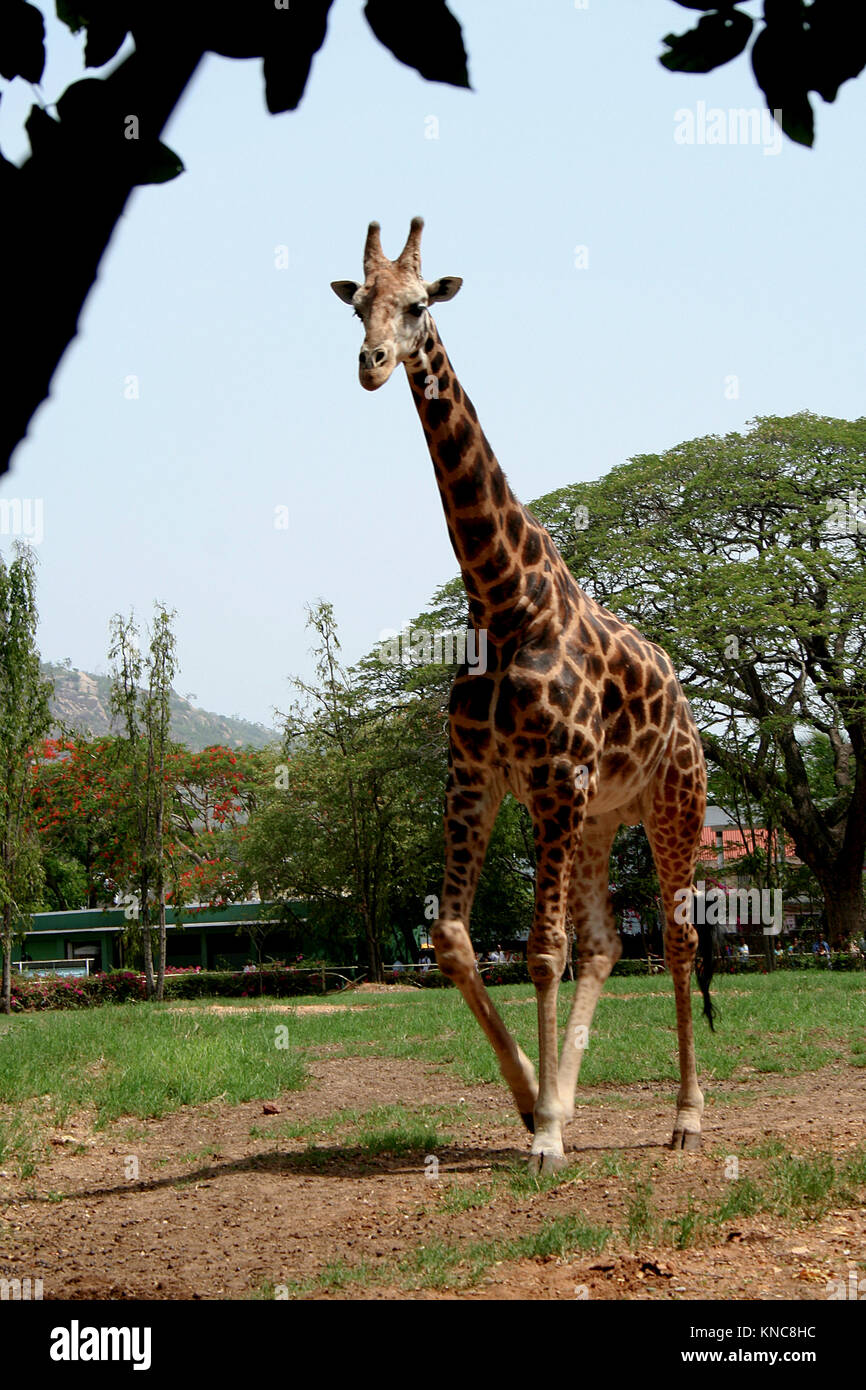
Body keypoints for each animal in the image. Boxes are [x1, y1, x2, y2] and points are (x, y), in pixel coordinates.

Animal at [331, 218, 713, 1172]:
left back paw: (687, 1118)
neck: (503, 600)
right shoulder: (480, 775)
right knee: (610, 944)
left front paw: (543, 1135)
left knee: (677, 939)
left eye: (418, 304)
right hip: (600, 818)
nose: (373, 362)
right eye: (359, 304)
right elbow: (454, 939)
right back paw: (568, 1099)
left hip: (672, 803)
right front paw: (532, 1102)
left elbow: (540, 950)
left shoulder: (551, 776)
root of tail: (687, 707)